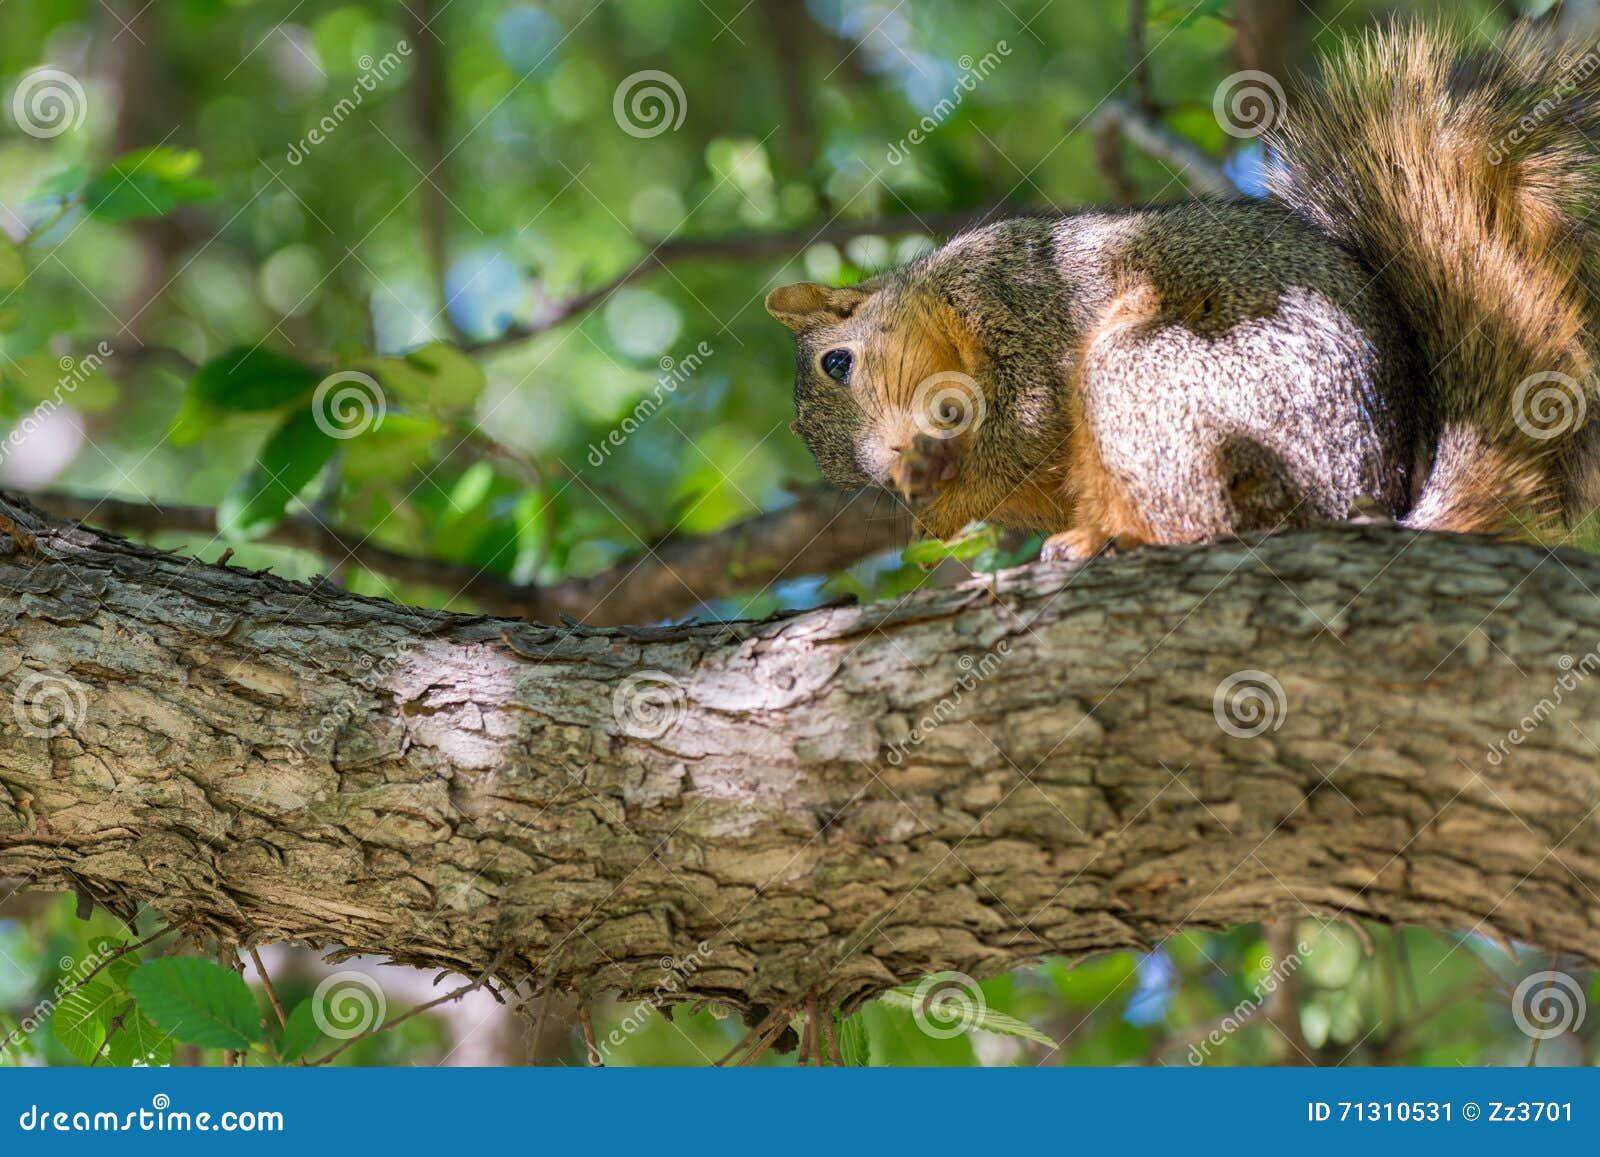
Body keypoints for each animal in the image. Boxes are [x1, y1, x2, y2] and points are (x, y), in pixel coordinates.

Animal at [766, 24, 1600, 561]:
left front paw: (938, 505)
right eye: (847, 476)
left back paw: (1114, 537)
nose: (895, 467)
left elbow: (1029, 420)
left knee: (1198, 516)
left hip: (1152, 377)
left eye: (837, 362)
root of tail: (1359, 502)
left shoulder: (1010, 292)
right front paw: (927, 497)